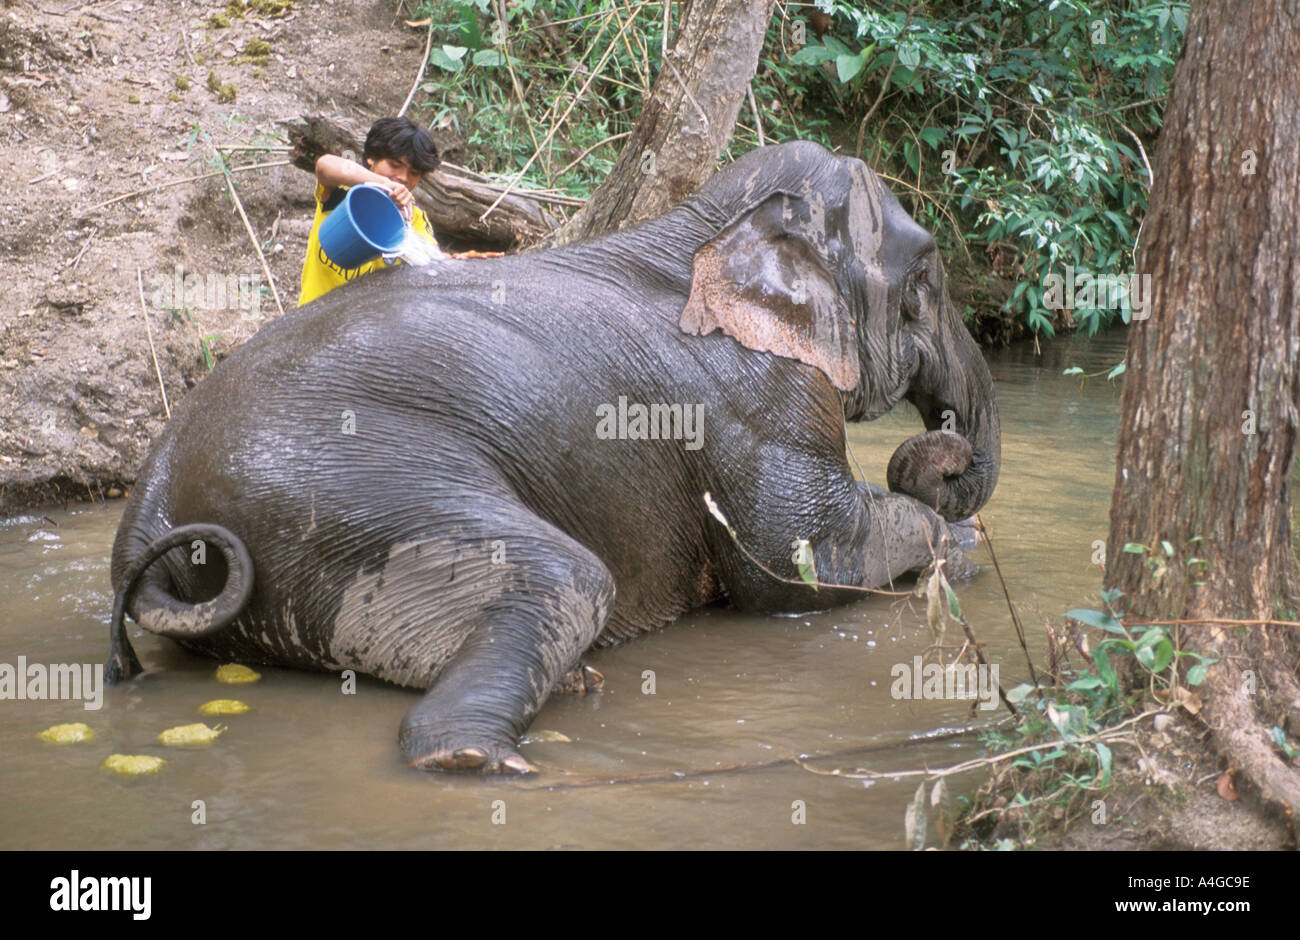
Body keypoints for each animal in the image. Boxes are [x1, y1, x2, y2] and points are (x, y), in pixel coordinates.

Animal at [107, 139, 1000, 774]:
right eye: (926, 281)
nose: (944, 447)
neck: (706, 225)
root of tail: (151, 497)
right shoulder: (760, 396)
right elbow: (802, 567)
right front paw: (960, 549)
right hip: (342, 491)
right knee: (566, 578)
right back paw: (478, 752)